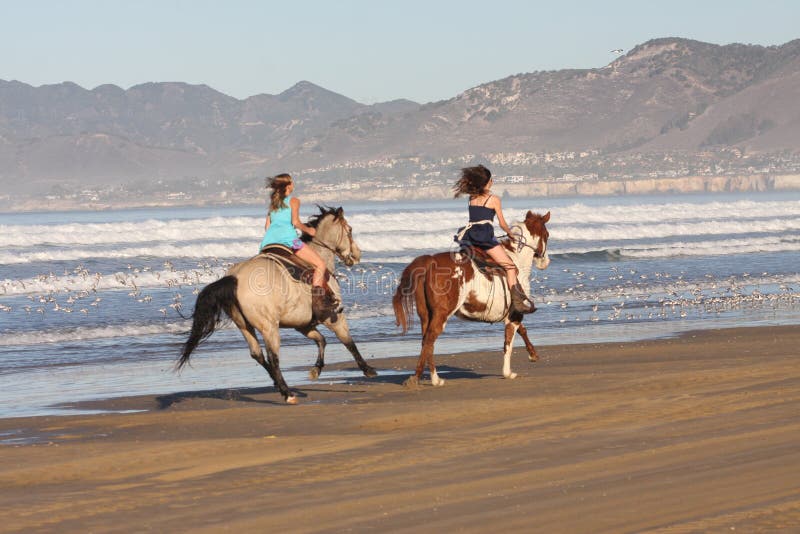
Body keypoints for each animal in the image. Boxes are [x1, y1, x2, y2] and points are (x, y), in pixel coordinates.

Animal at [177, 206, 377, 404]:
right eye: (349, 230)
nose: (357, 255)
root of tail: (235, 277)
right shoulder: (334, 317)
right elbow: (348, 341)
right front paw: (367, 369)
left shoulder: (302, 324)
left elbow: (321, 340)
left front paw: (316, 369)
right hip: (269, 327)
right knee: (272, 357)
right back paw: (287, 392)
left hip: (244, 325)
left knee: (257, 354)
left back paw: (278, 384)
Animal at [393, 211, 550, 387]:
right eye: (547, 235)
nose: (545, 262)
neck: (516, 260)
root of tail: (430, 262)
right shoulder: (515, 314)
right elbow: (508, 343)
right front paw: (508, 372)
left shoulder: (512, 313)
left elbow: (522, 330)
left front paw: (533, 354)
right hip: (441, 315)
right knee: (429, 340)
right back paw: (429, 379)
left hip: (425, 315)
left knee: (426, 343)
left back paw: (426, 377)